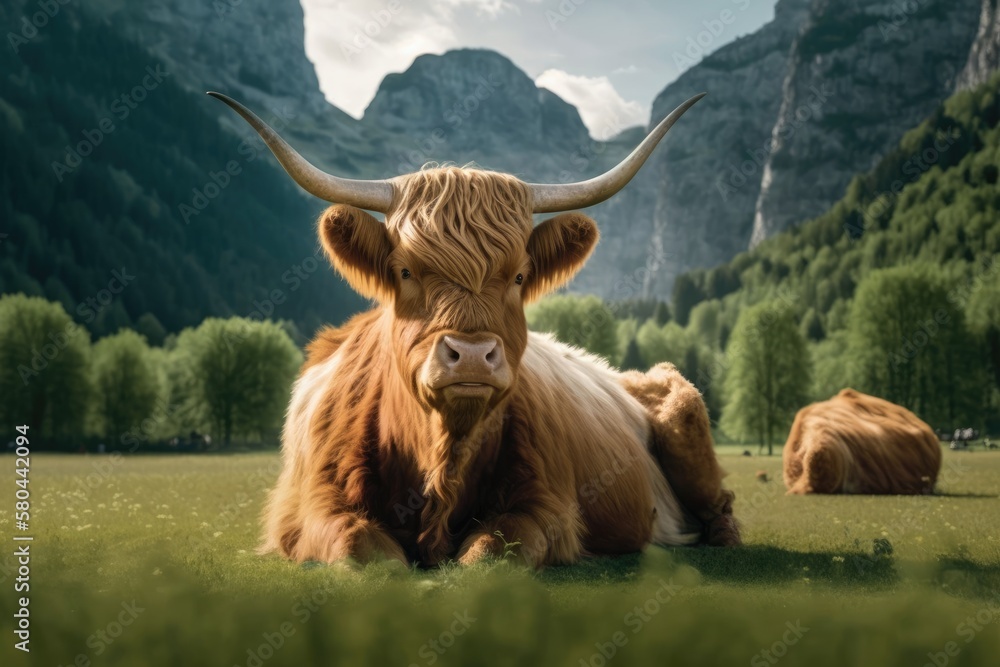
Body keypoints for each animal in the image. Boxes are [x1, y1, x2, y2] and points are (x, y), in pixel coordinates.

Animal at [209, 91, 739, 568]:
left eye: (520, 276)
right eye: (405, 271)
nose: (469, 355)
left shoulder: (548, 505)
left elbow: (489, 554)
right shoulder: (309, 506)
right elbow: (364, 550)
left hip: (685, 413)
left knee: (720, 505)